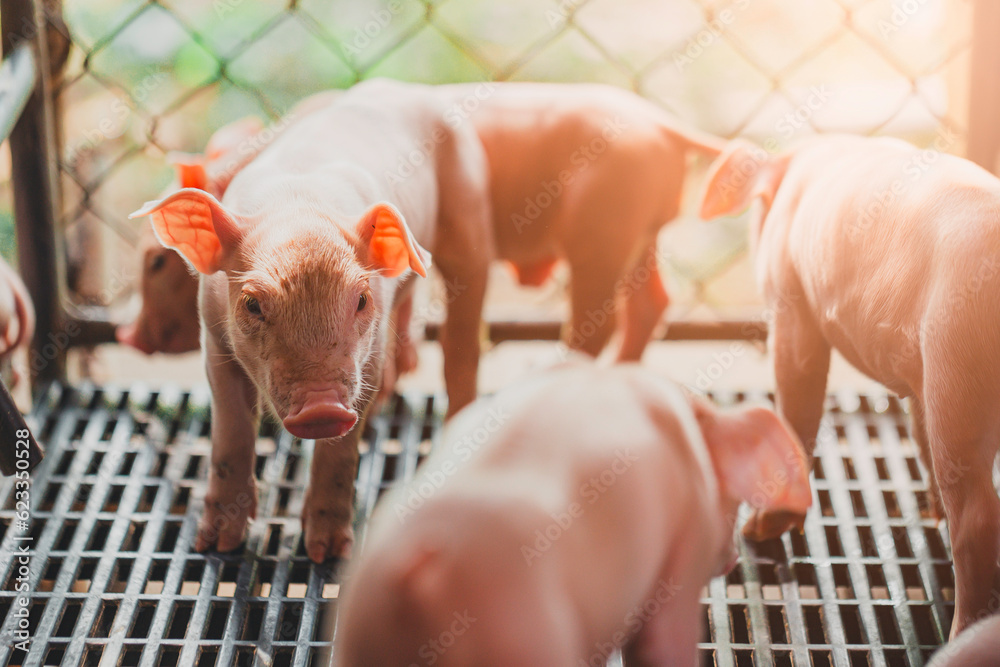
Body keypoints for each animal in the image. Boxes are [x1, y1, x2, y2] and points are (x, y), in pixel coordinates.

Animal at [130, 79, 491, 562]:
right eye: (252, 304)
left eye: (360, 300)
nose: (321, 405)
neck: (298, 206)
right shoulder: (213, 338)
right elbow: (230, 432)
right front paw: (216, 545)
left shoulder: (366, 355)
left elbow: (341, 453)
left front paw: (327, 553)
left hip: (470, 216)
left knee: (463, 340)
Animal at [334, 362, 811, 666]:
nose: (735, 555)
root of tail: (419, 568)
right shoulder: (684, 550)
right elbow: (662, 647)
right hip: (525, 634)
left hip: (359, 634)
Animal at [699, 134, 1000, 637]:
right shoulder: (919, 372)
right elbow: (918, 434)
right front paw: (933, 512)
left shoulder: (793, 303)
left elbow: (797, 401)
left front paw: (759, 528)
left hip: (958, 361)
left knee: (977, 517)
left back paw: (959, 635)